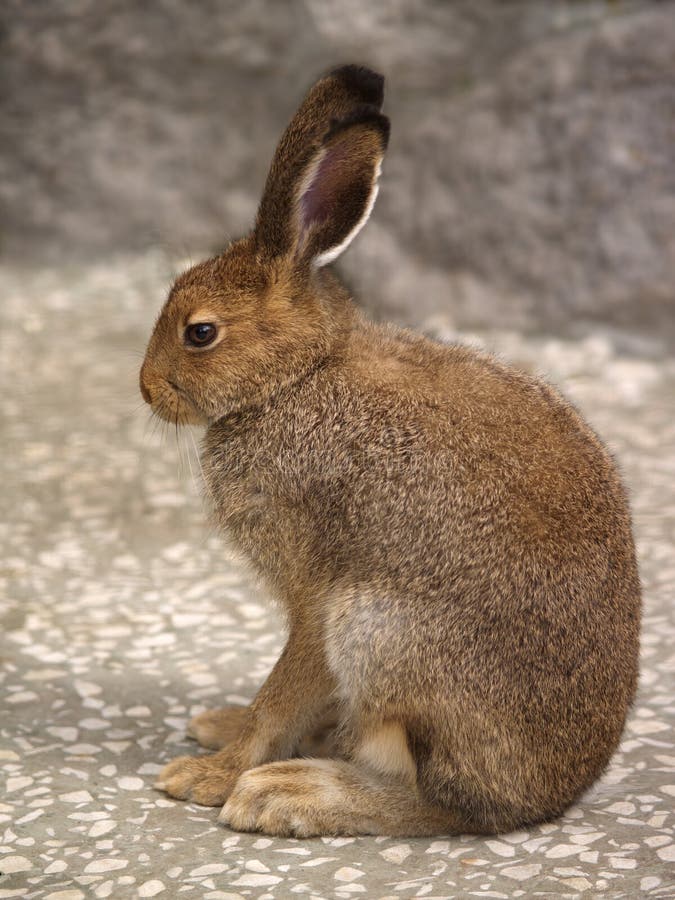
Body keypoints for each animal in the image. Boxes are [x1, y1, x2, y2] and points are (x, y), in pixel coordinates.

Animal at [139, 64, 641, 837]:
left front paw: (211, 775)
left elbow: (284, 692)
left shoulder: (316, 595)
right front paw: (227, 734)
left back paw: (287, 793)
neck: (299, 374)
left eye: (200, 333)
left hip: (377, 630)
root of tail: (547, 796)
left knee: (435, 805)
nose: (144, 389)